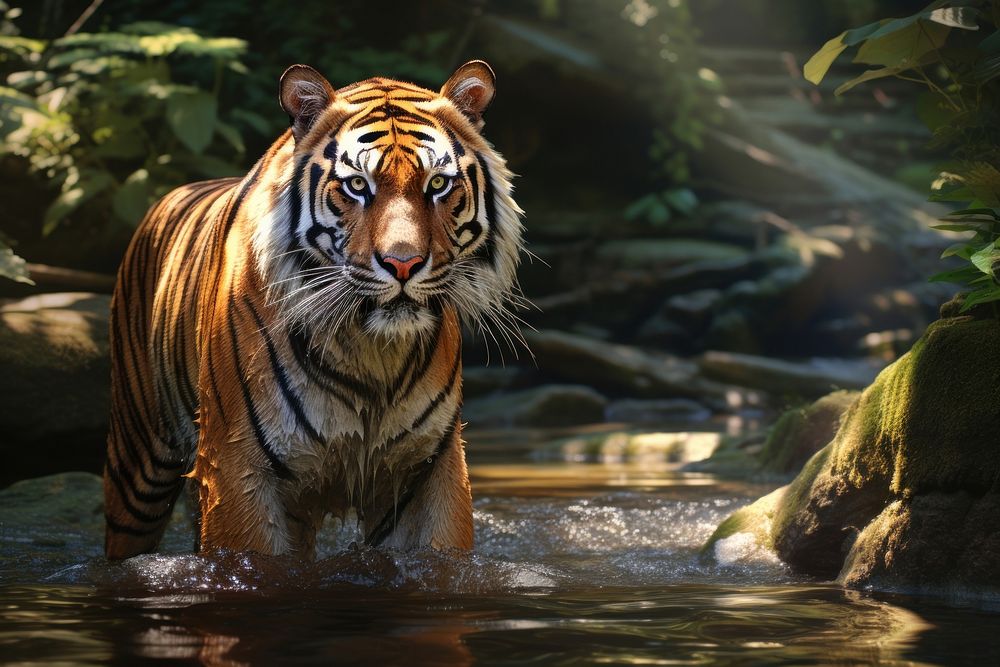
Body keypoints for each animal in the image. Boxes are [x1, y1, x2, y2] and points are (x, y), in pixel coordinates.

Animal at [102, 60, 524, 559]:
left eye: (438, 184)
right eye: (358, 185)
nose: (403, 263)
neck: (373, 351)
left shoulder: (429, 467)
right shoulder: (238, 467)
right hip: (137, 464)